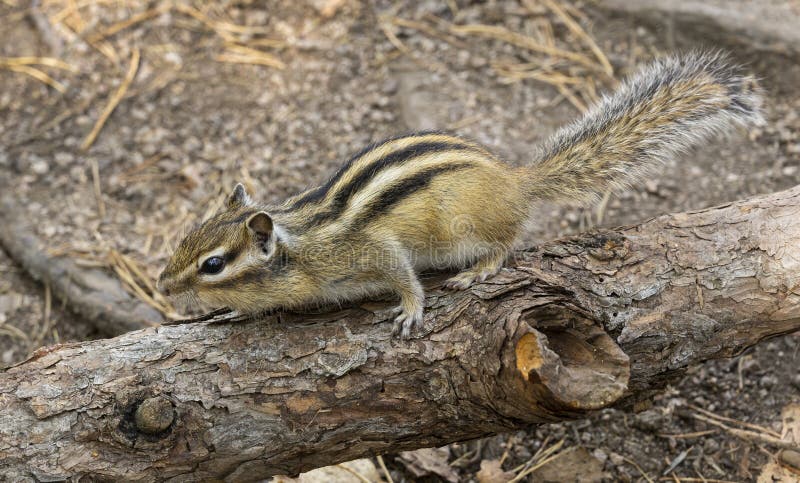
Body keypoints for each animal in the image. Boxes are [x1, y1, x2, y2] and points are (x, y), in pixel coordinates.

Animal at [157, 51, 763, 338]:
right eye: (186, 238)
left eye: (213, 264)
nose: (163, 285)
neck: (297, 242)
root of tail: (515, 180)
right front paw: (231, 315)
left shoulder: (366, 250)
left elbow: (402, 273)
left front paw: (410, 309)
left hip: (465, 226)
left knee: (505, 244)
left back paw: (477, 271)